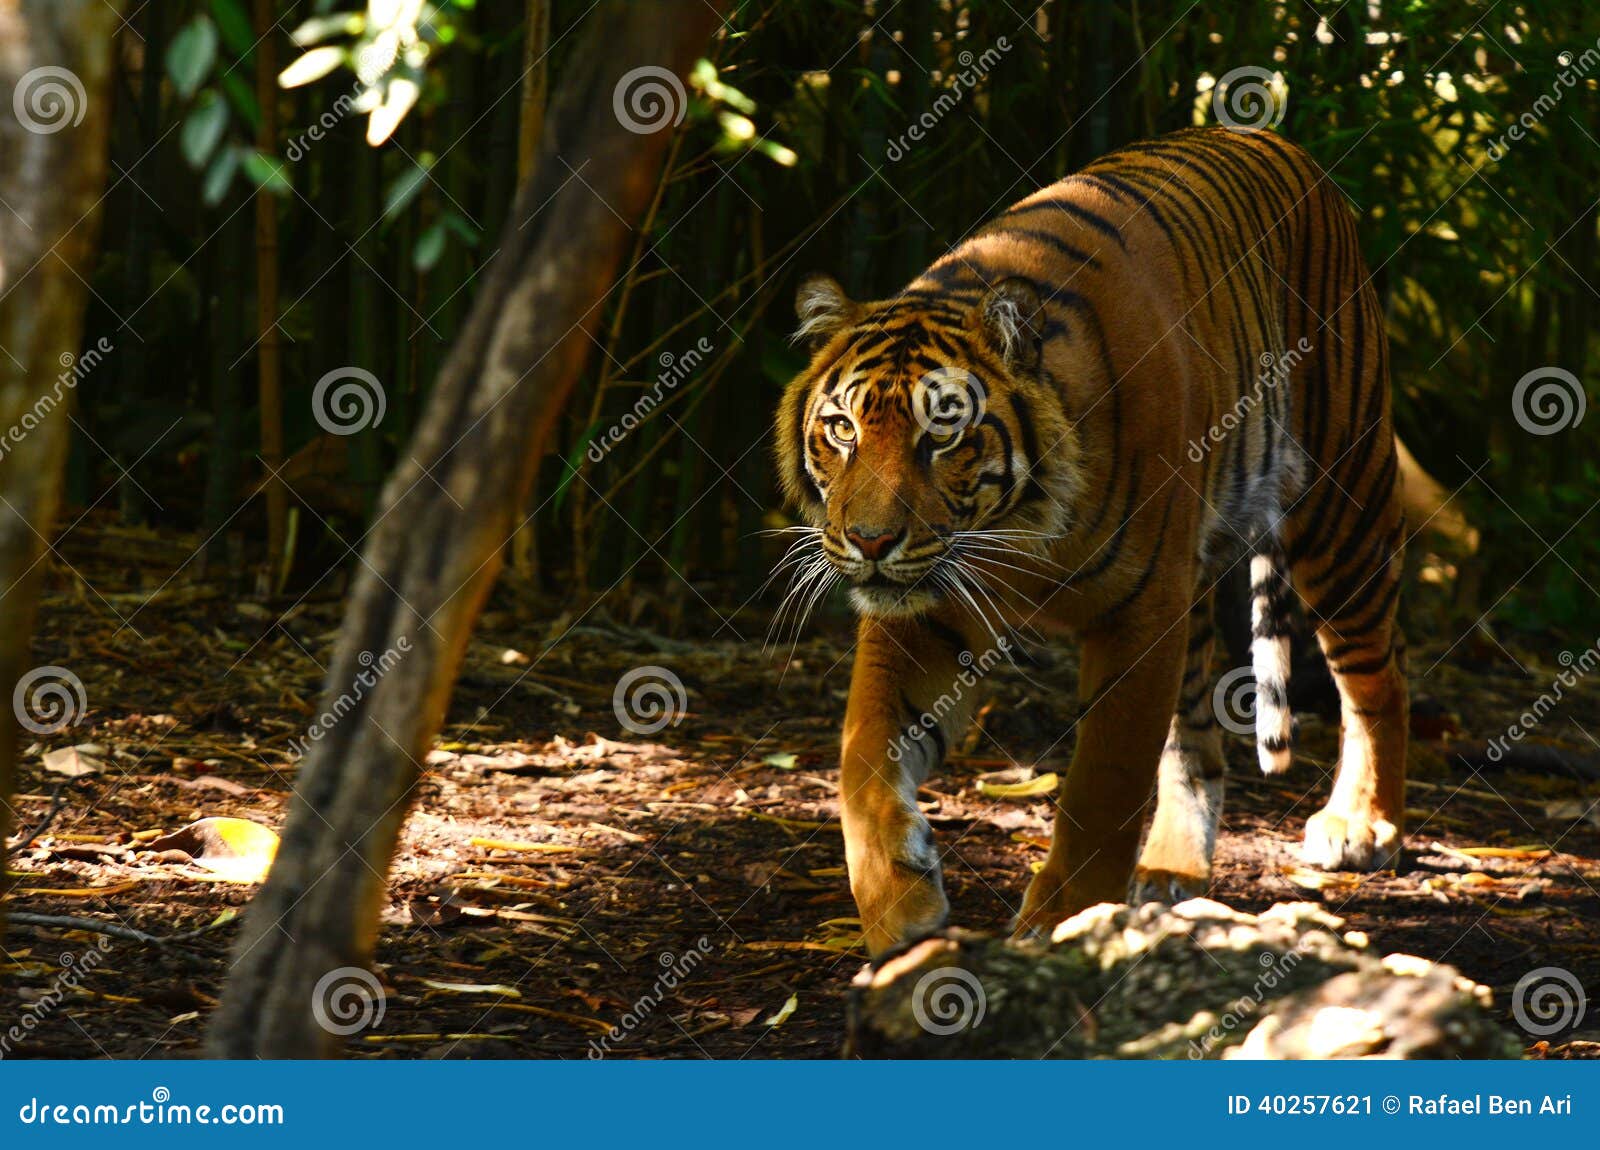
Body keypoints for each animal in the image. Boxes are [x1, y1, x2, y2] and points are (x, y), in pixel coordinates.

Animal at [774, 126, 1408, 957]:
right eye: (842, 429)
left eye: (942, 433)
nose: (869, 540)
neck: (1013, 536)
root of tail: (1273, 137)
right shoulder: (927, 610)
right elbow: (862, 755)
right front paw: (898, 906)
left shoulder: (1138, 616)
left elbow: (1104, 782)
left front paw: (1062, 921)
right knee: (1198, 743)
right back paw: (1171, 872)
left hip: (1341, 505)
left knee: (1375, 677)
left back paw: (1362, 825)